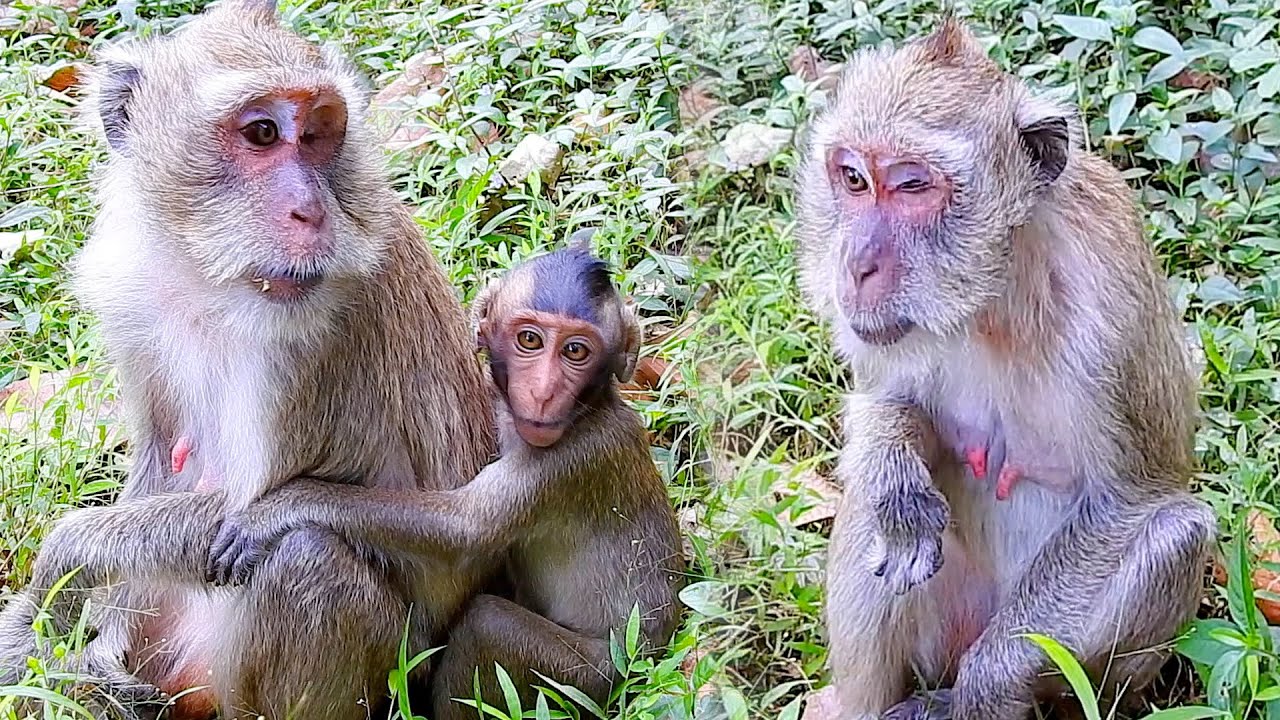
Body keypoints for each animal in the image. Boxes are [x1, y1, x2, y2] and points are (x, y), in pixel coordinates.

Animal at [0, 1, 499, 718]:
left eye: (317, 135)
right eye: (263, 133)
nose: (310, 209)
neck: (208, 276)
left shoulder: (316, 338)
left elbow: (255, 503)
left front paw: (62, 563)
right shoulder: (134, 299)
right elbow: (161, 458)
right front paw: (51, 636)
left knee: (304, 555)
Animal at [201, 240, 687, 719]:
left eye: (576, 352)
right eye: (530, 339)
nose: (545, 391)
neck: (589, 409)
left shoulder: (574, 459)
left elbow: (464, 530)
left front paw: (276, 510)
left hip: (591, 680)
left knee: (488, 627)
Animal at [793, 18, 1217, 720]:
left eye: (913, 186)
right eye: (852, 179)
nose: (855, 265)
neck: (994, 291)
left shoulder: (1108, 309)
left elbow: (1128, 498)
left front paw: (981, 692)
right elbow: (888, 403)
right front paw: (896, 480)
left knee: (1177, 534)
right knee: (869, 513)